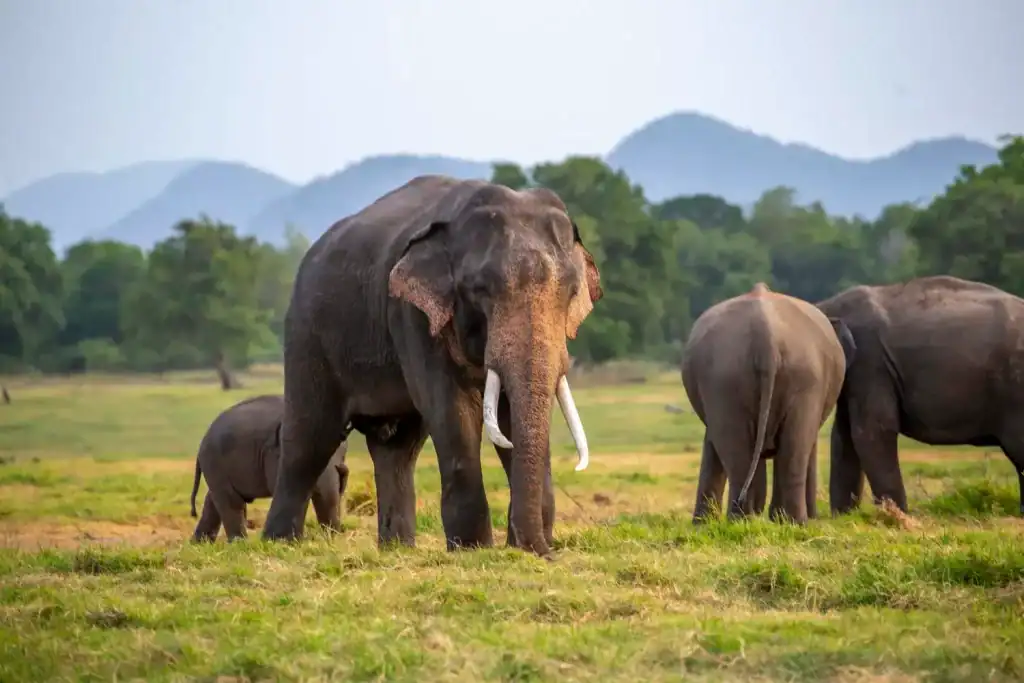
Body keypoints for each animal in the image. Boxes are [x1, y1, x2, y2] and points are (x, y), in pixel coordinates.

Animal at [190, 394, 350, 542]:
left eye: (343, 452)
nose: (337, 535)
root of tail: (201, 443)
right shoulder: (274, 453)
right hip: (214, 462)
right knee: (232, 501)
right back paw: (239, 544)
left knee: (214, 500)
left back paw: (199, 544)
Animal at [260, 175, 602, 558]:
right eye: (480, 289)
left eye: (571, 292)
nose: (546, 552)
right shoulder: (413, 314)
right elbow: (451, 408)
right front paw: (472, 550)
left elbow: (508, 412)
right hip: (307, 336)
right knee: (310, 439)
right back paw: (279, 544)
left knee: (397, 447)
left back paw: (396, 548)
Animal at [681, 282, 856, 523]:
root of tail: (766, 336)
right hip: (732, 379)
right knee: (779, 454)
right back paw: (767, 521)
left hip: (760, 378)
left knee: (775, 454)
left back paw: (764, 521)